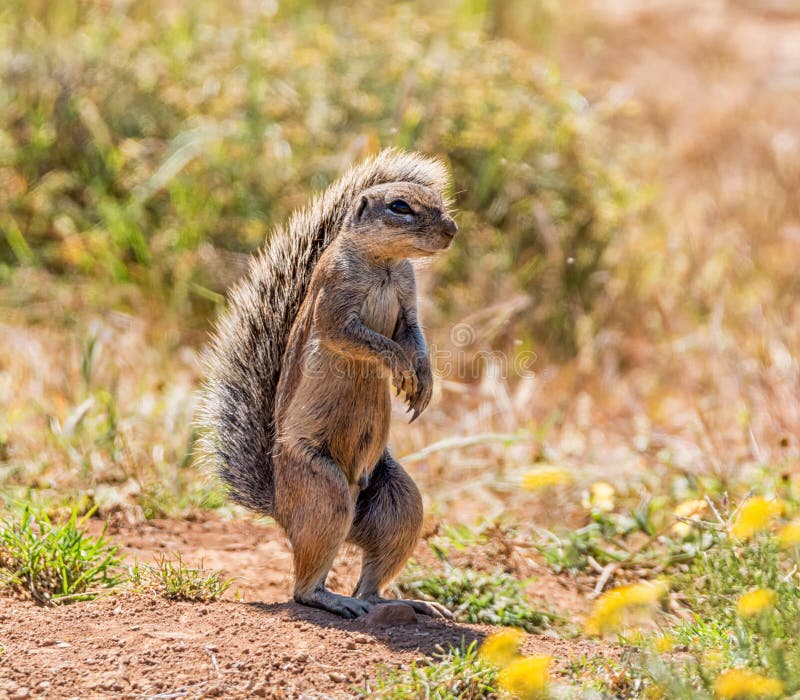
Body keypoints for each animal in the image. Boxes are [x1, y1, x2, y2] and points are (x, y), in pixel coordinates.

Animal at [198, 149, 457, 619]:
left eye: (439, 203)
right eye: (400, 207)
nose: (452, 230)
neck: (384, 265)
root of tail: (282, 509)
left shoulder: (408, 300)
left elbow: (415, 336)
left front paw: (424, 381)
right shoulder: (334, 303)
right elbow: (363, 339)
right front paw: (400, 367)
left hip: (399, 504)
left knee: (370, 583)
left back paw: (406, 602)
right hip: (324, 491)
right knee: (304, 587)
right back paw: (335, 601)